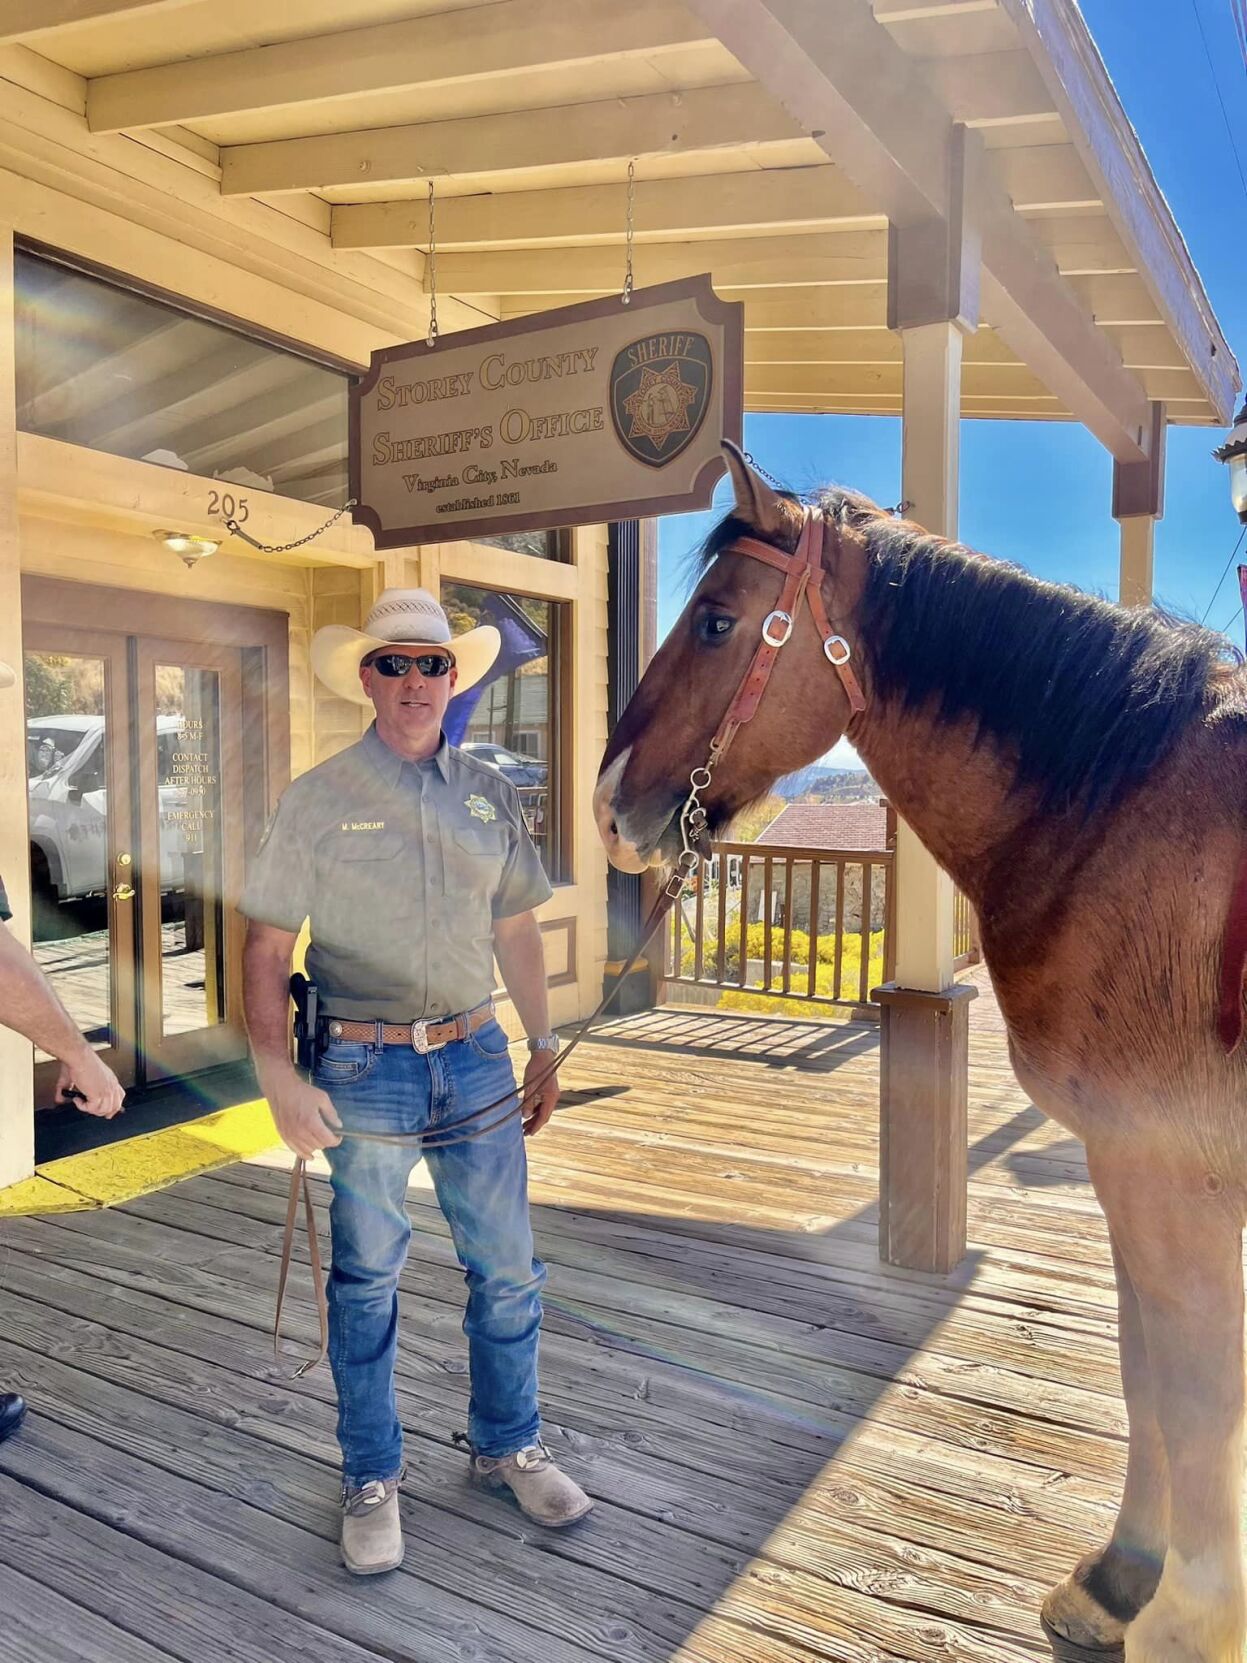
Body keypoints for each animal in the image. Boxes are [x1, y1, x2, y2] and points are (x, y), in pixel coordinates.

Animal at [593, 442, 1247, 1663]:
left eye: (715, 621)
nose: (609, 803)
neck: (1125, 814)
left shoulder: (1158, 1164)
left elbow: (1189, 1387)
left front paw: (1183, 1617)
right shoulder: (1133, 1166)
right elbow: (1146, 1368)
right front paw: (1118, 1578)